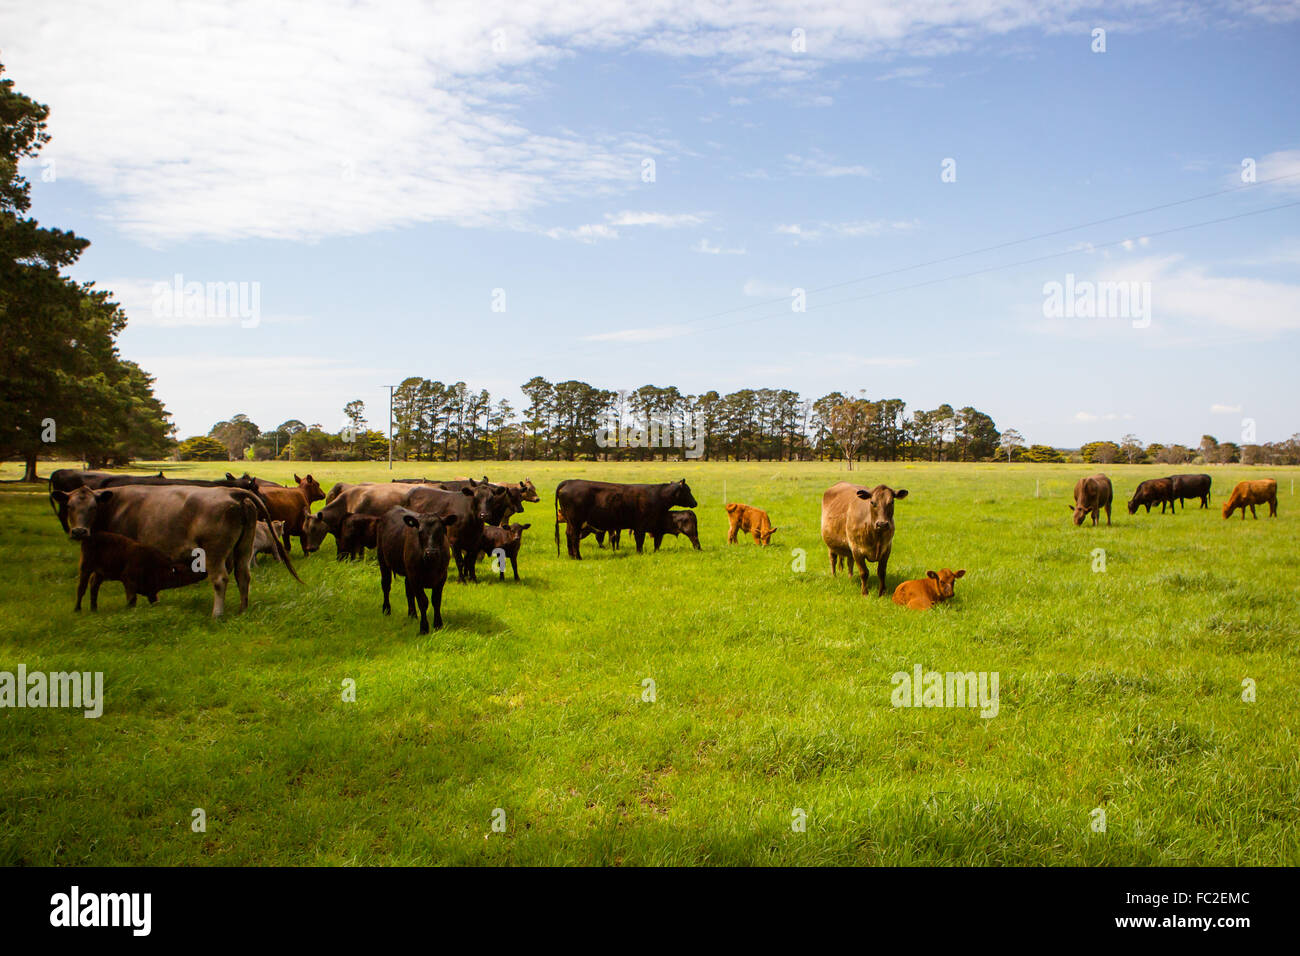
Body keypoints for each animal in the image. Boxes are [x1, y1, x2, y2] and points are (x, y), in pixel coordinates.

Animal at [74, 532, 207, 611]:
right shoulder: (128, 581)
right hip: (85, 567)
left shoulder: (152, 592)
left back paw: (94, 609)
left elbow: (154, 601)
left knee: (94, 585)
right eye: (189, 569)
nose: (205, 572)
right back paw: (78, 609)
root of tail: (89, 537)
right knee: (82, 587)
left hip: (100, 573)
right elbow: (132, 600)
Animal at [554, 479, 698, 558]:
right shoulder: (640, 525)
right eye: (688, 490)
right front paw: (640, 553)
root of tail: (569, 482)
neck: (657, 494)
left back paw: (571, 556)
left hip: (570, 521)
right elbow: (639, 541)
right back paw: (578, 557)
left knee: (568, 534)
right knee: (574, 537)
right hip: (576, 521)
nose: (695, 503)